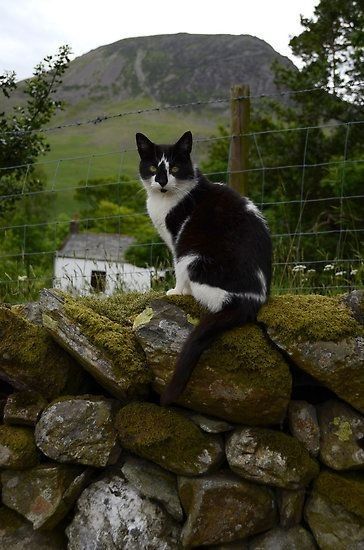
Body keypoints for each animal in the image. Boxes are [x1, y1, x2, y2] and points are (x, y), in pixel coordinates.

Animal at [135, 129, 272, 406]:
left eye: (175, 168)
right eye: (153, 167)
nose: (162, 182)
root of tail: (252, 298)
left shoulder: (178, 241)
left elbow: (176, 267)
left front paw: (177, 291)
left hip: (195, 257)